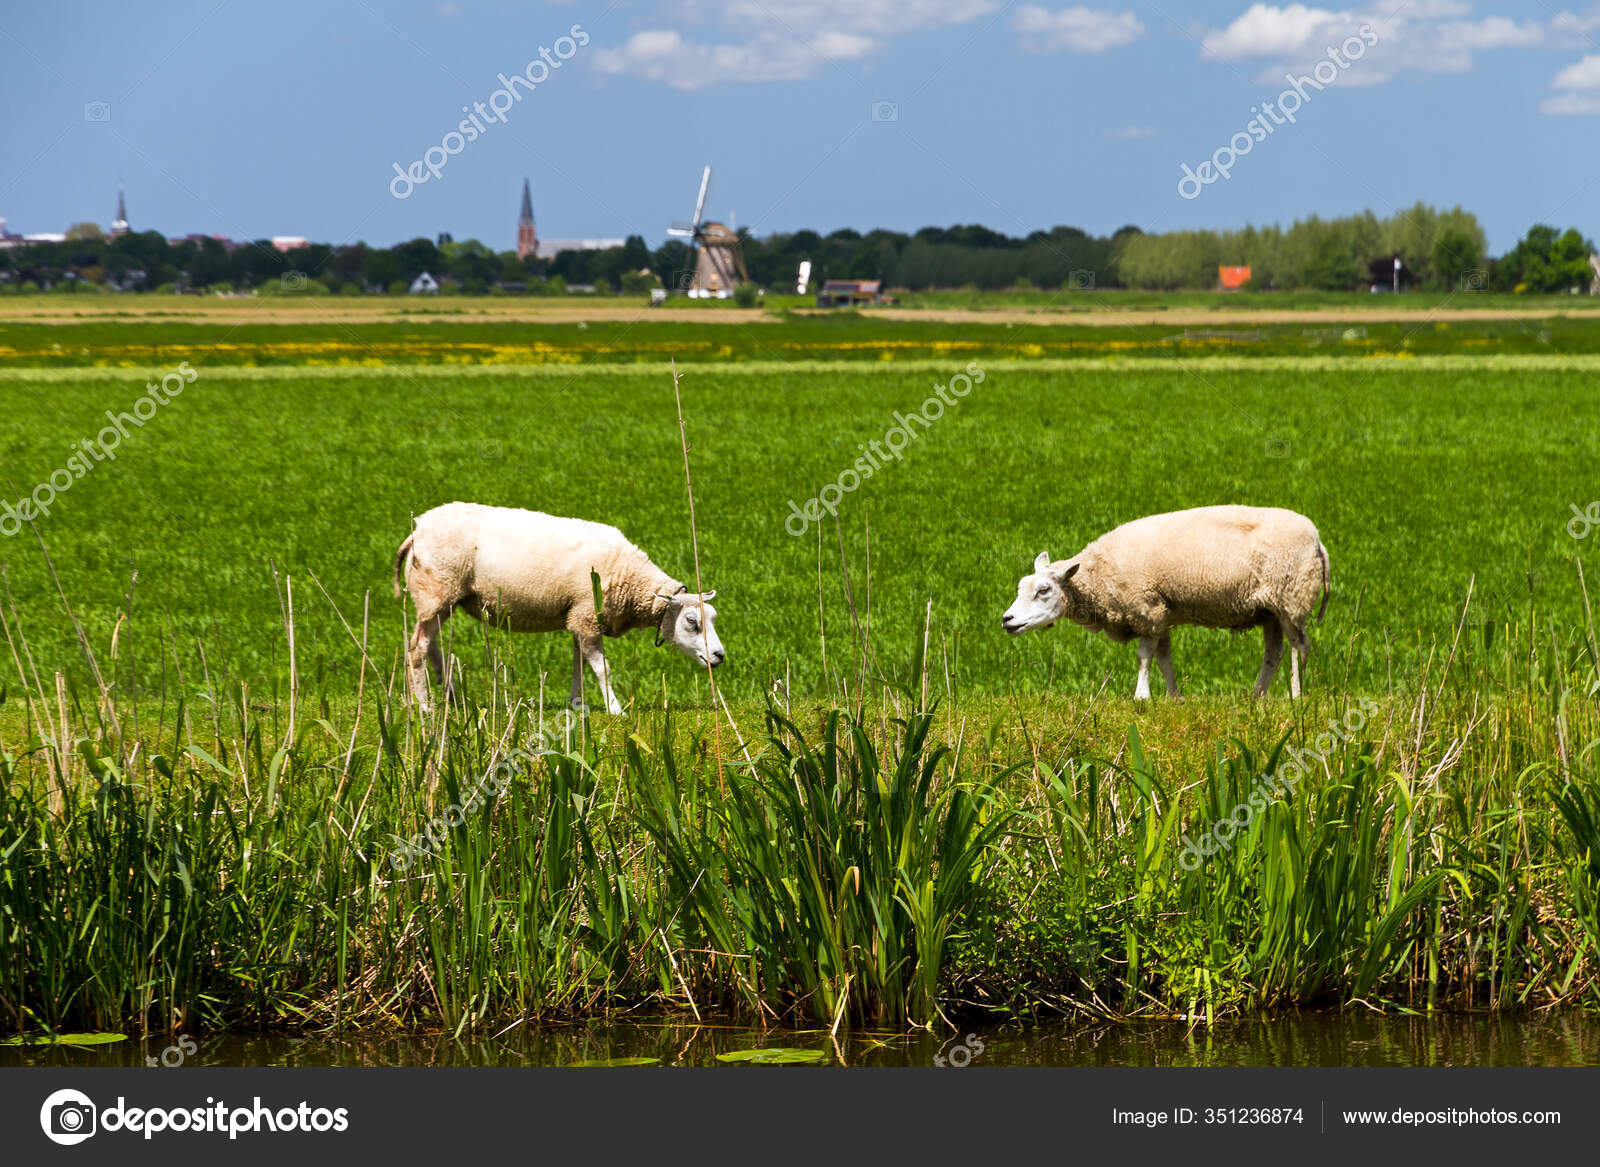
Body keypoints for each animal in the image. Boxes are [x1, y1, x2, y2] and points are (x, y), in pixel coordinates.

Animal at [394, 502, 723, 714]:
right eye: (691, 621)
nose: (720, 655)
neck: (631, 578)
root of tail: (415, 533)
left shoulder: (578, 614)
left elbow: (579, 662)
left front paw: (577, 703)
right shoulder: (586, 614)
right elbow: (601, 667)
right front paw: (615, 709)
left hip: (441, 597)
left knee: (428, 643)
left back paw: (447, 692)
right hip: (437, 588)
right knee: (416, 649)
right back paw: (425, 705)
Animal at [1000, 505, 1328, 699]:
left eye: (1044, 590)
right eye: (1020, 587)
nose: (1007, 620)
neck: (1098, 575)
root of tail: (1317, 539)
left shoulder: (1147, 609)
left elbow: (1144, 656)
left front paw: (1141, 696)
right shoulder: (1161, 613)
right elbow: (1163, 657)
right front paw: (1174, 697)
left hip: (1292, 597)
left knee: (1299, 646)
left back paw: (1296, 694)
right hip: (1270, 609)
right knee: (1273, 652)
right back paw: (1257, 695)